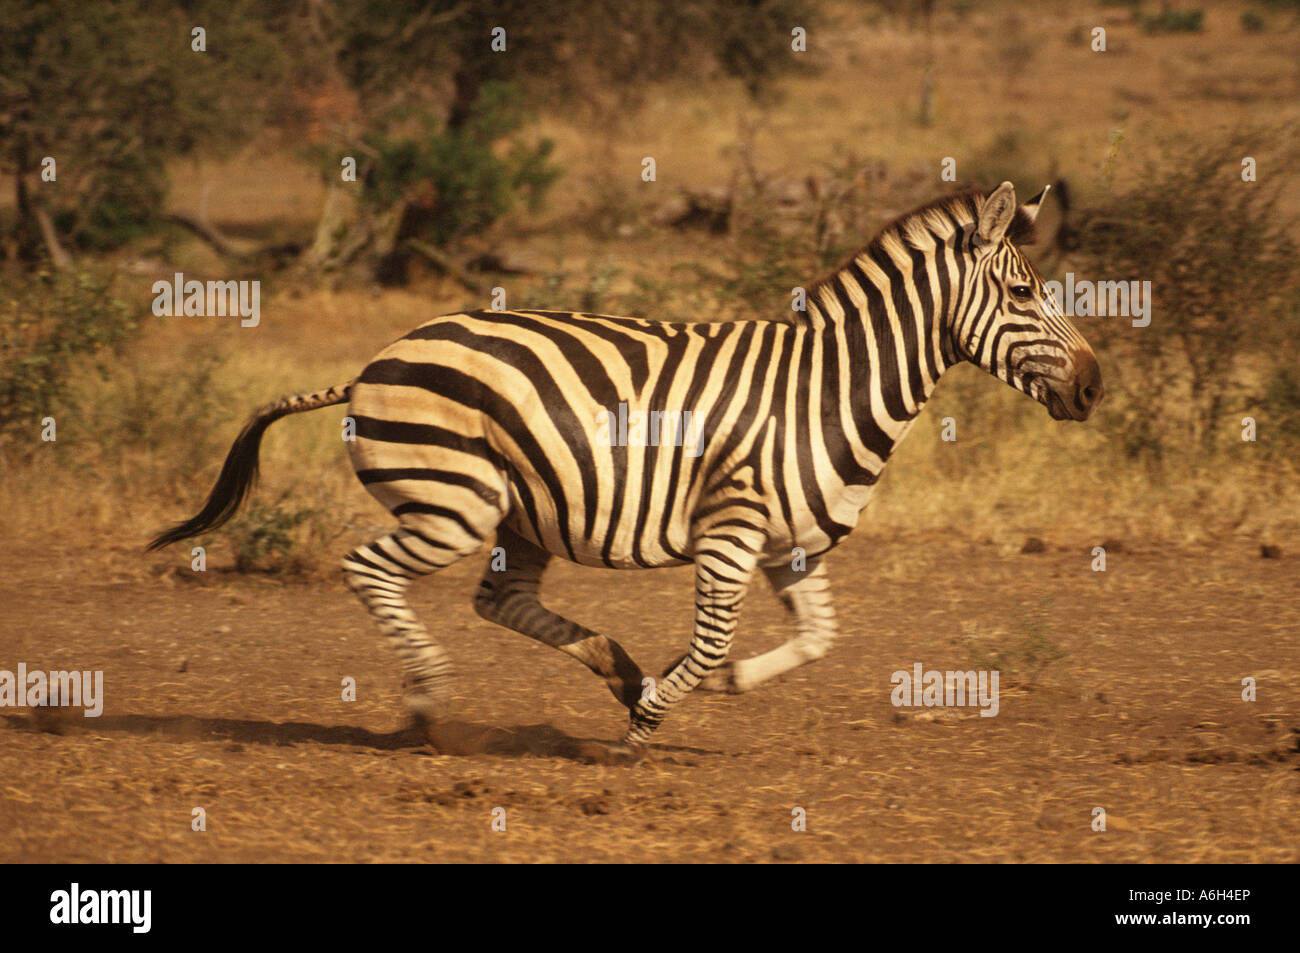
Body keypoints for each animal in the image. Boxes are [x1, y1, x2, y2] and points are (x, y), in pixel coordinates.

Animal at [148, 181, 1102, 750]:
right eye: (1024, 293)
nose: (1094, 385)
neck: (829, 389)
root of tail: (371, 363)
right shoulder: (731, 528)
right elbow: (715, 631)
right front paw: (654, 715)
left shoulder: (791, 544)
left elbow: (818, 637)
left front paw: (721, 682)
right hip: (454, 500)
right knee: (369, 569)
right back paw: (428, 701)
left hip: (518, 512)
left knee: (498, 598)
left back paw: (616, 665)